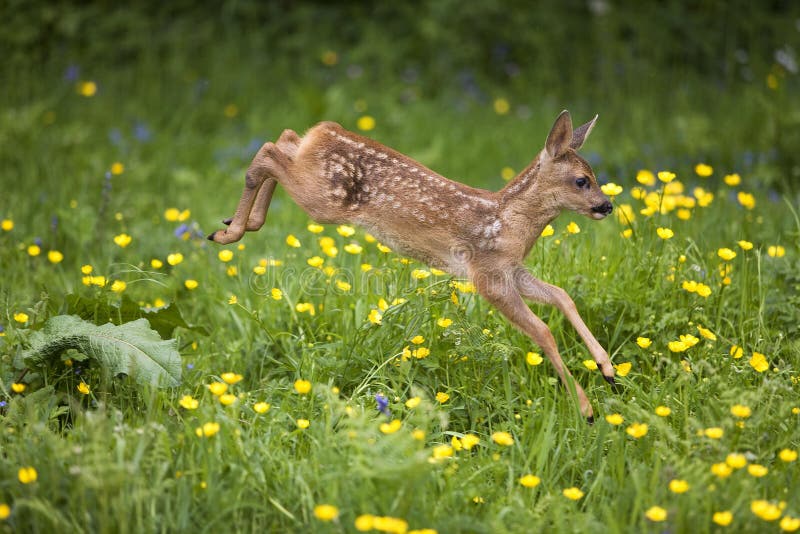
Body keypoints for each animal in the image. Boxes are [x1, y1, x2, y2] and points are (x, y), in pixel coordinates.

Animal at [208, 110, 615, 422]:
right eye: (582, 180)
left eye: (595, 177)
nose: (608, 205)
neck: (508, 222)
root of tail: (325, 129)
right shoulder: (487, 273)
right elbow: (543, 331)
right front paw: (586, 409)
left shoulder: (511, 269)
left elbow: (562, 296)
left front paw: (607, 369)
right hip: (322, 200)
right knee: (269, 152)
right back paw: (230, 231)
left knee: (286, 138)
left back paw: (236, 223)